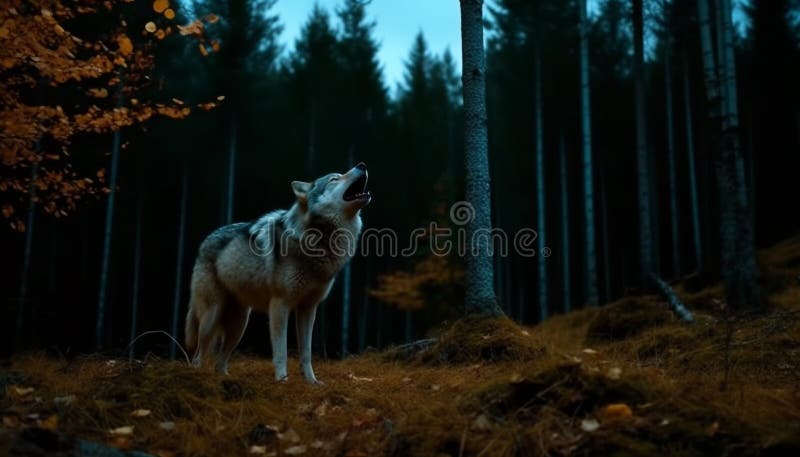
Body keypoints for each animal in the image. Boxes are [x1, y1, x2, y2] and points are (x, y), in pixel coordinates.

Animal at [184, 163, 371, 384]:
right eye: (335, 178)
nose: (362, 165)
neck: (318, 240)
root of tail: (205, 240)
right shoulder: (280, 305)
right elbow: (281, 351)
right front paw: (282, 380)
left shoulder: (308, 309)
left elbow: (306, 353)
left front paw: (312, 382)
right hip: (212, 316)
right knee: (198, 354)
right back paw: (197, 376)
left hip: (239, 325)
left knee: (219, 361)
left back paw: (224, 378)